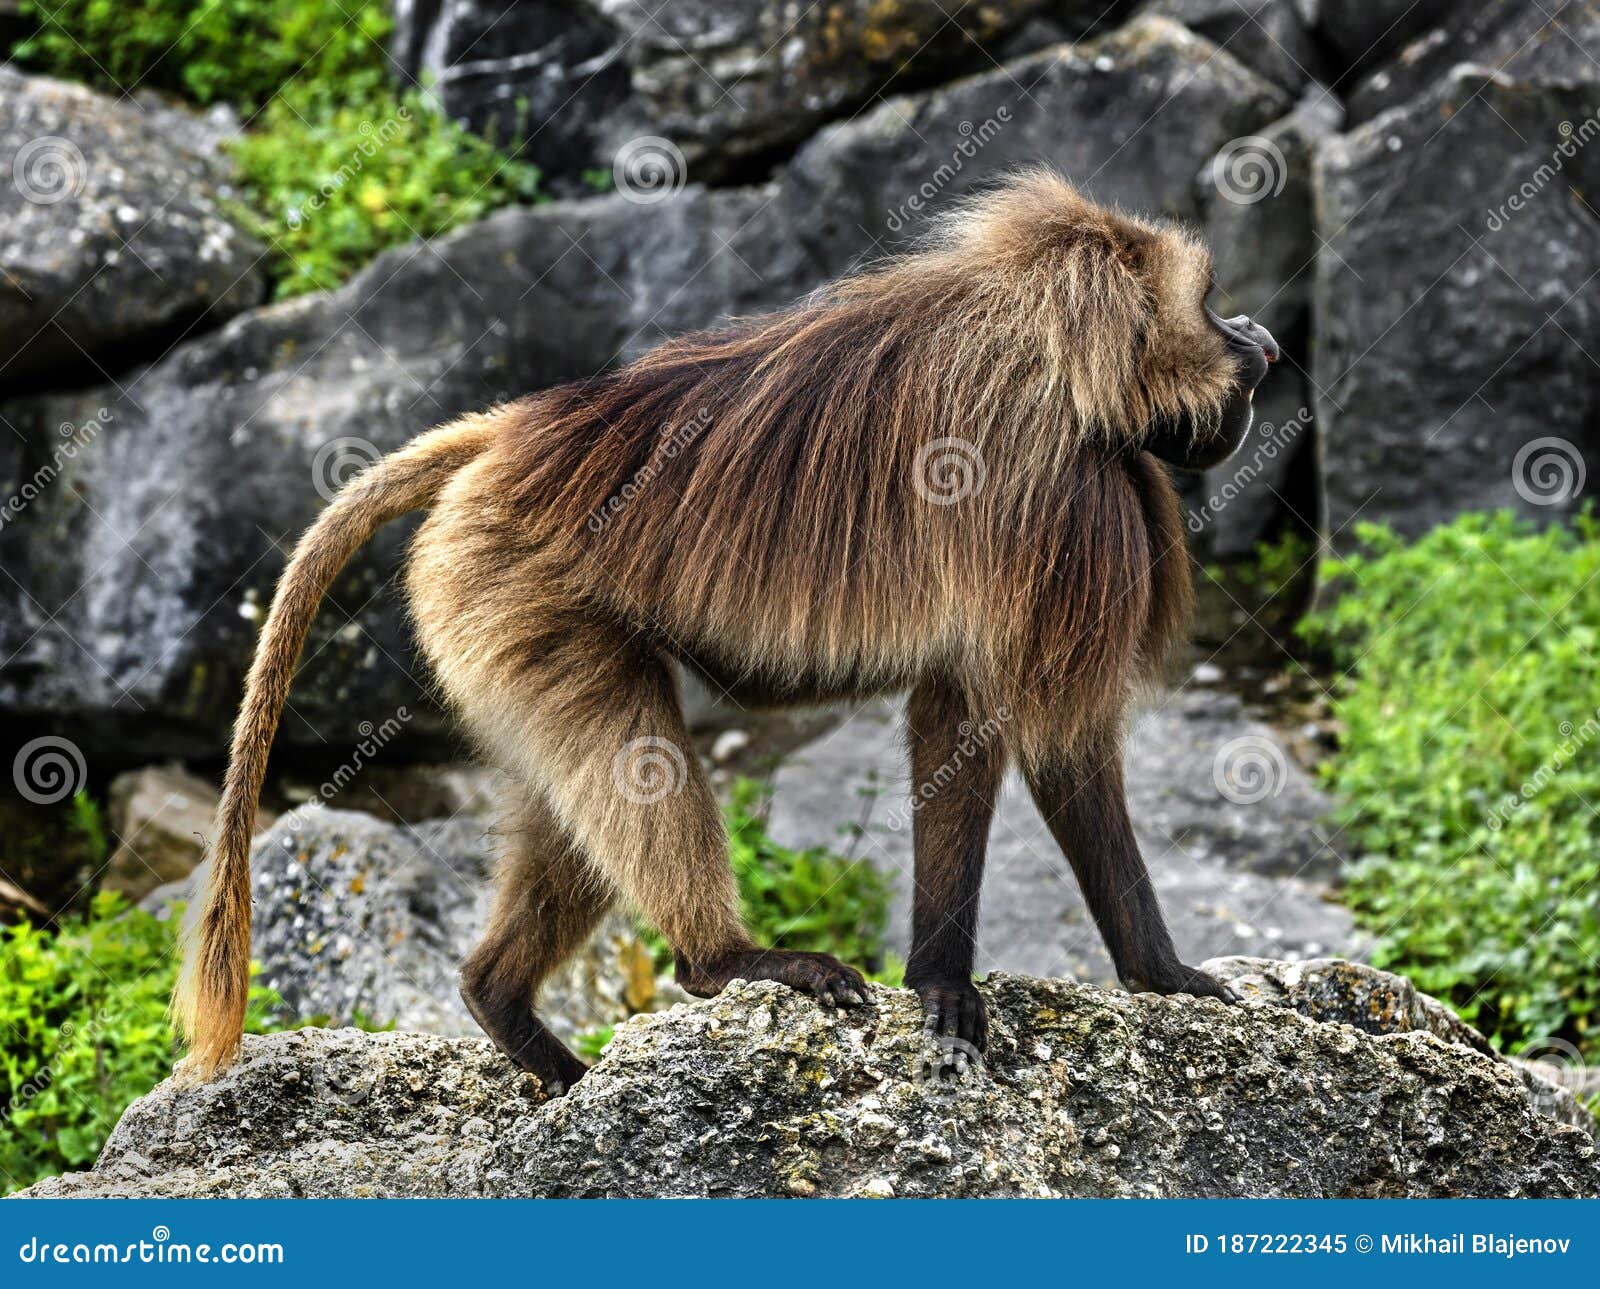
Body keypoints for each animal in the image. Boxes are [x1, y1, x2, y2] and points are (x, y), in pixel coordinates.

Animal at [173, 169, 1279, 1092]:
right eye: (1210, 303)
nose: (1264, 340)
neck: (1051, 344)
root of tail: (506, 434)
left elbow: (972, 721)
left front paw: (1135, 974)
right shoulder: (1055, 497)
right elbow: (1018, 729)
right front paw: (987, 982)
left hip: (495, 625)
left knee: (575, 789)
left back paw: (519, 1021)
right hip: (509, 587)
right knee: (635, 760)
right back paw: (729, 963)